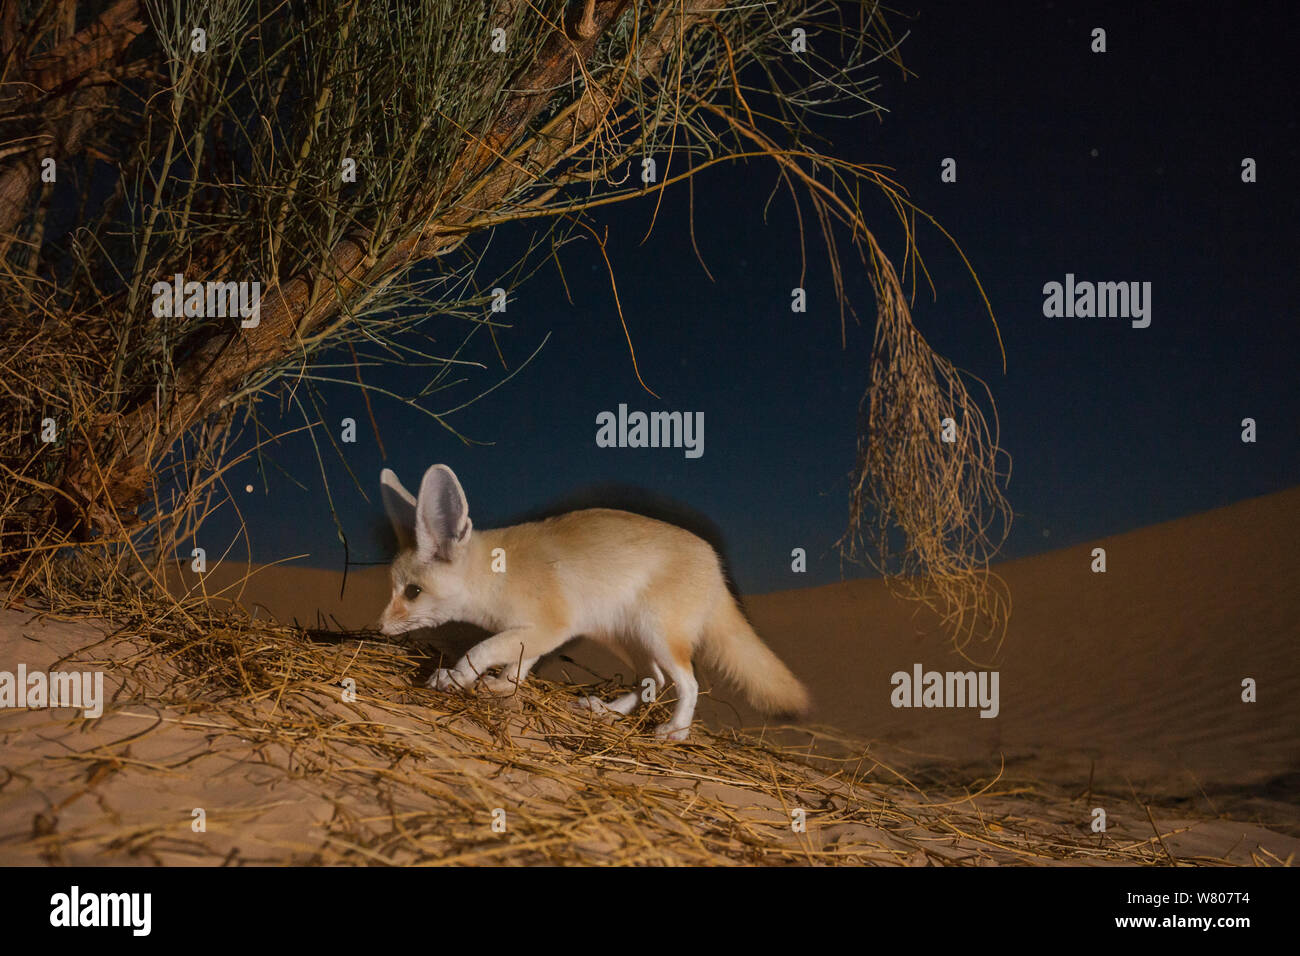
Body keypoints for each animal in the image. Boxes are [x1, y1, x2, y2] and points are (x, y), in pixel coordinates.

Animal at [377, 463, 810, 739]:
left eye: (412, 592)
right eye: (393, 589)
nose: (380, 626)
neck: (493, 572)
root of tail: (716, 564)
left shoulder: (550, 627)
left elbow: (482, 649)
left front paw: (455, 677)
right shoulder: (538, 635)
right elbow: (519, 665)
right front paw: (501, 686)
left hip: (656, 635)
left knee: (688, 682)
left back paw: (676, 731)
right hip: (623, 638)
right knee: (654, 680)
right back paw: (606, 711)